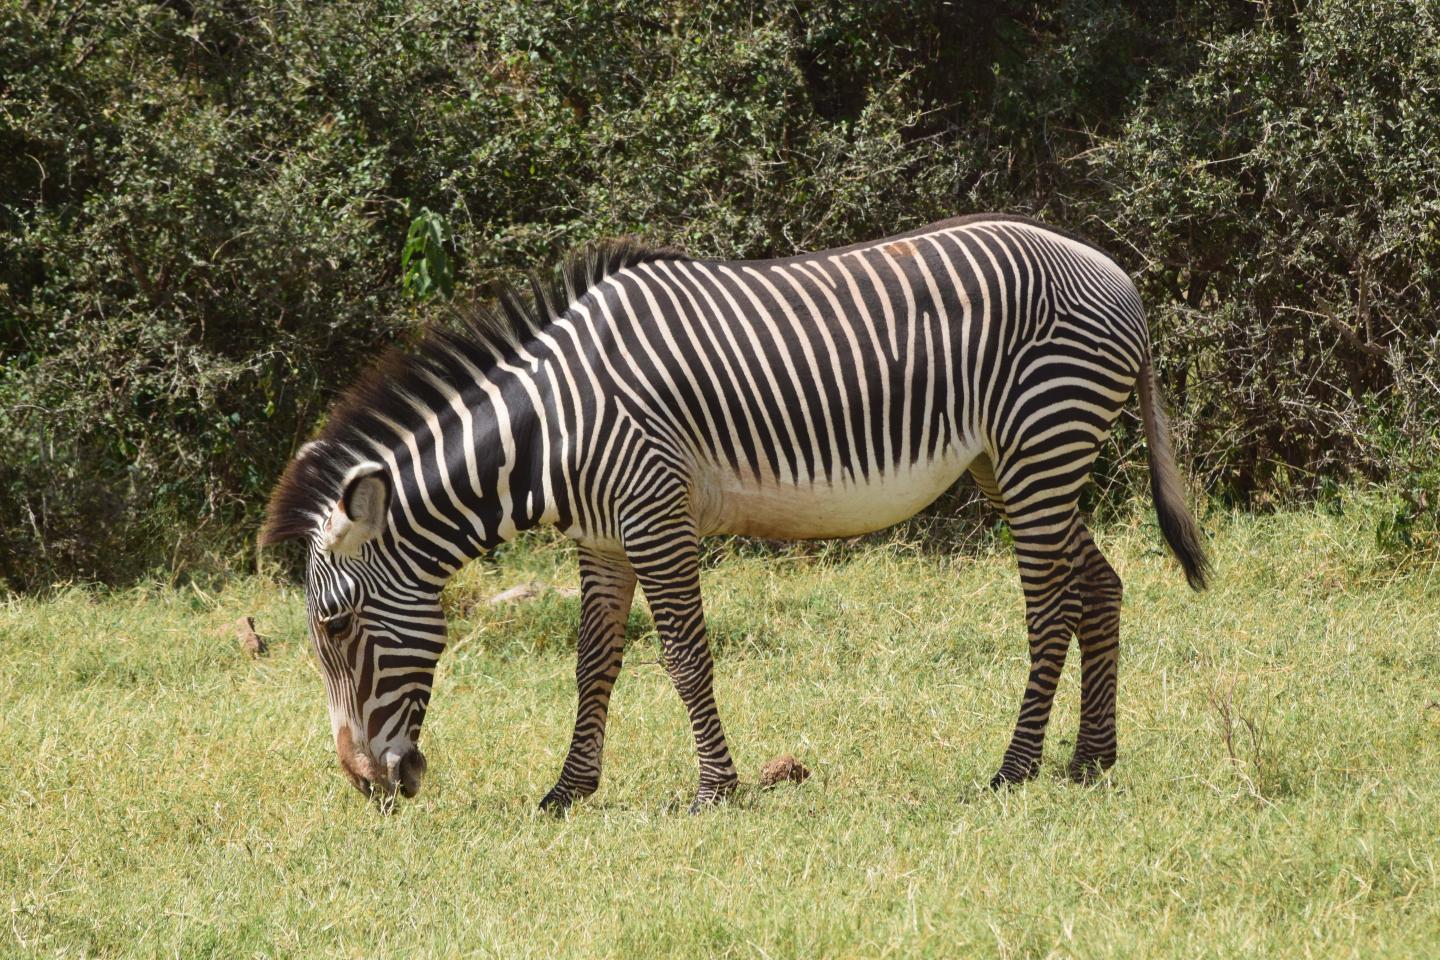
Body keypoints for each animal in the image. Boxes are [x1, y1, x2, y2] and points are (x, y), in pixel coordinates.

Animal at [261, 213, 1208, 810]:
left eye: (337, 628)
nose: (366, 785)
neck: (550, 430)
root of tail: (1114, 272)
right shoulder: (602, 542)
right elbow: (593, 664)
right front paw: (568, 791)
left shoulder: (653, 513)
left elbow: (684, 657)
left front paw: (716, 789)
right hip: (1012, 462)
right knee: (1100, 585)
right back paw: (1091, 760)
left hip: (1040, 440)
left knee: (1049, 607)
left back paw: (1016, 768)